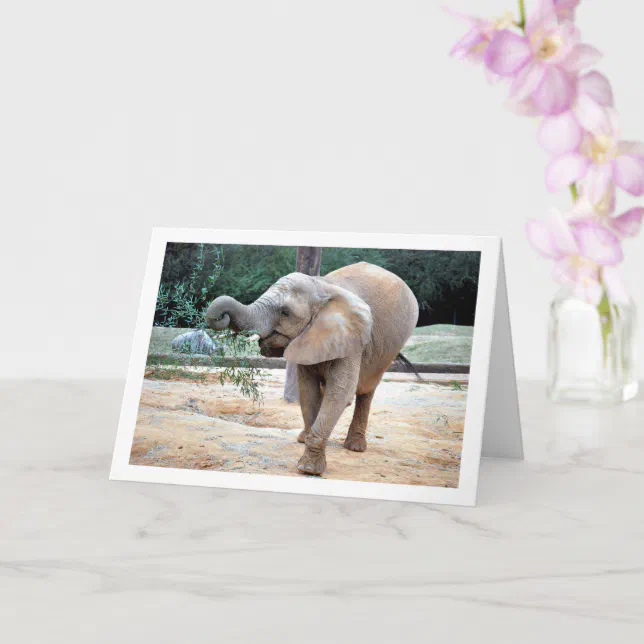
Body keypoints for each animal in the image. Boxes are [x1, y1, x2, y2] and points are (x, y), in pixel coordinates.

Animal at [205, 262, 419, 476]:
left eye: (285, 312)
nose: (222, 316)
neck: (322, 286)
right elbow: (308, 390)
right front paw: (306, 445)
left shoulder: (351, 338)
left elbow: (340, 392)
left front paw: (309, 469)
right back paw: (304, 438)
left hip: (386, 352)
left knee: (367, 390)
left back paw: (355, 447)